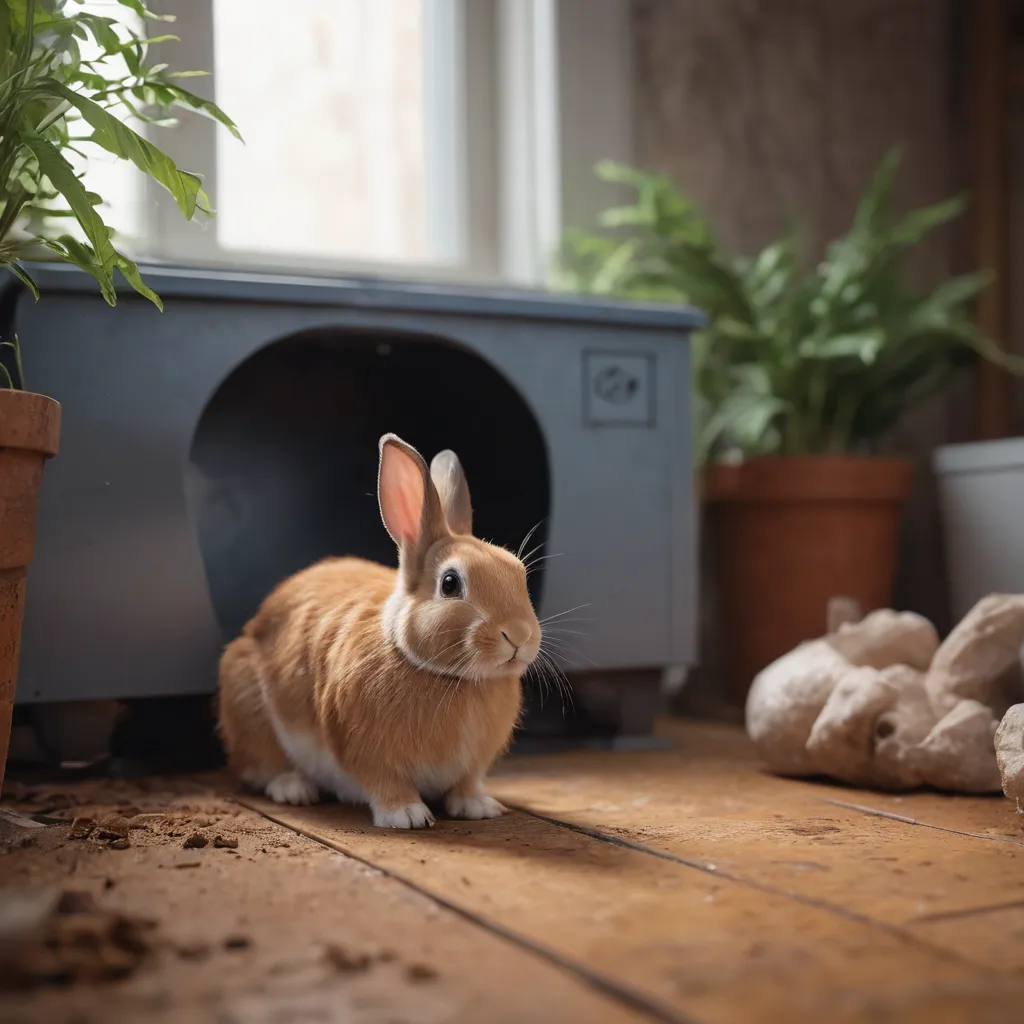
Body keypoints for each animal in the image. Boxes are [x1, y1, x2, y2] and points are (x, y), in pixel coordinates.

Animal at [217, 433, 542, 829]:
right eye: (450, 584)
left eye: (518, 572)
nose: (520, 635)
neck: (452, 678)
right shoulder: (364, 751)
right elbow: (384, 781)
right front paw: (407, 815)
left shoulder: (472, 766)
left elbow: (467, 782)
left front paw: (478, 807)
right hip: (250, 709)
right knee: (262, 767)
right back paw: (295, 789)